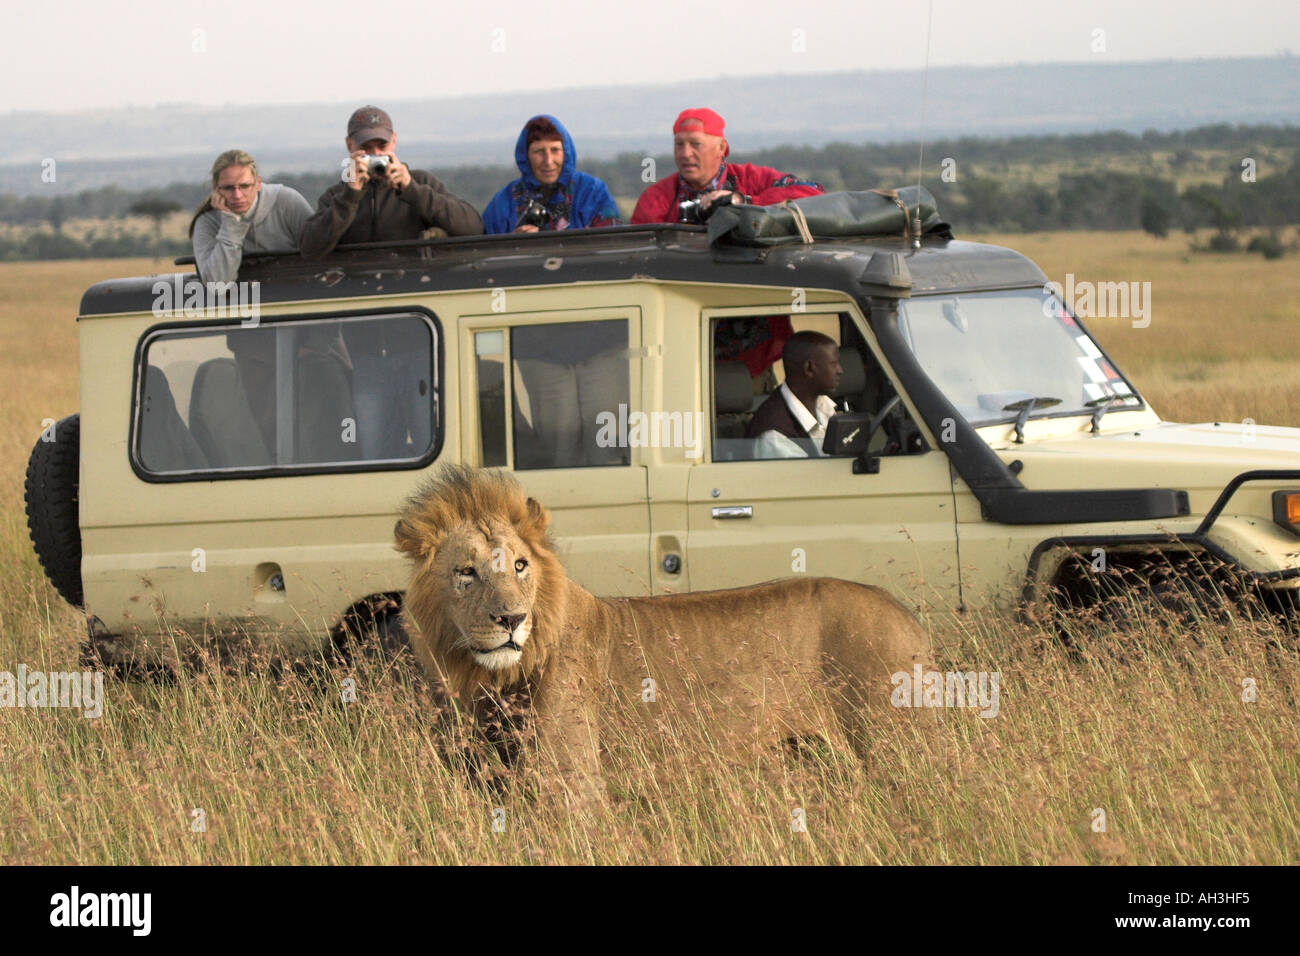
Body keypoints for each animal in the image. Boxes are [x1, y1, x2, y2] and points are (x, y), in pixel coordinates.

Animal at [394, 465, 930, 802]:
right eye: (467, 572)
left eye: (521, 566)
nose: (512, 619)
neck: (491, 681)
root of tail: (907, 616)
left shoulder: (575, 790)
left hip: (891, 749)